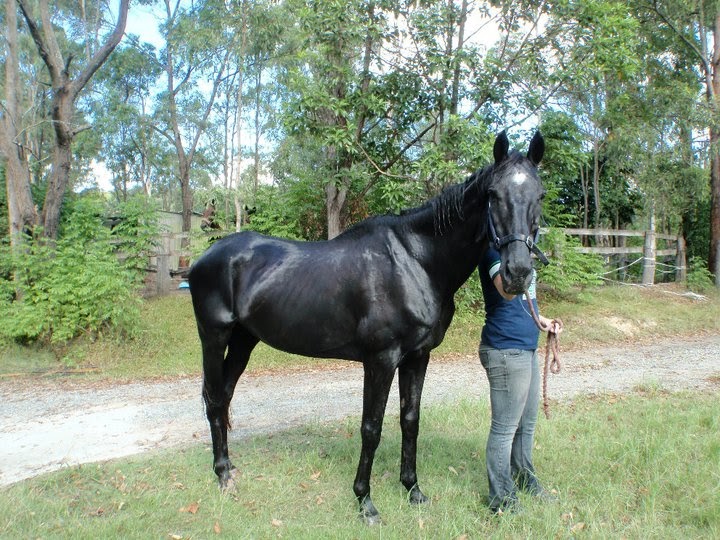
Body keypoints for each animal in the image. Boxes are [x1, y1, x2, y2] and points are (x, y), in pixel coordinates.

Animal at [188, 130, 546, 524]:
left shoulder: (417, 357)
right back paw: (222, 474)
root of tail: (206, 257)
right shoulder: (380, 360)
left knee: (224, 397)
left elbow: (410, 420)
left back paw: (230, 468)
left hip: (243, 340)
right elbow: (371, 428)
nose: (517, 273)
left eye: (540, 195)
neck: (416, 262)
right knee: (214, 398)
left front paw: (413, 490)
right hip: (213, 336)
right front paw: (366, 502)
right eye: (493, 194)